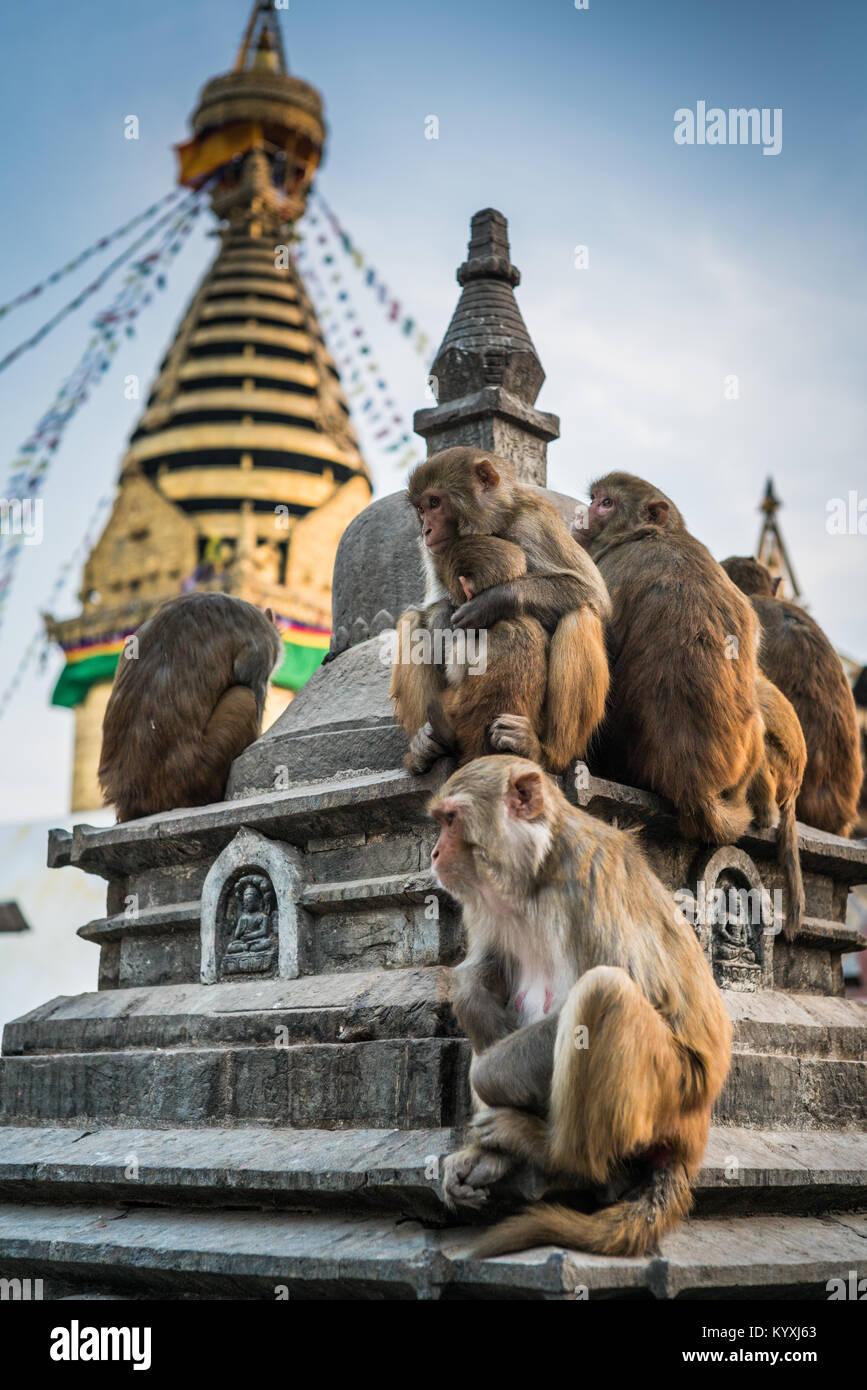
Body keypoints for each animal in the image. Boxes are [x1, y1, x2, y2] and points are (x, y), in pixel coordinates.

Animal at [390, 447, 610, 776]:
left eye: (434, 503)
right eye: (421, 508)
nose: (426, 529)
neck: (492, 525)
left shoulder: (535, 521)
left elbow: (593, 593)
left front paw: (493, 601)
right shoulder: (435, 552)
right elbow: (434, 606)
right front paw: (446, 623)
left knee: (580, 615)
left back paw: (544, 752)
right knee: (412, 619)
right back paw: (425, 750)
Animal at [430, 755, 732, 1258]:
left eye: (450, 820)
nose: (434, 854)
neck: (535, 876)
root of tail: (693, 1138)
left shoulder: (587, 881)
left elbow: (631, 986)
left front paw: (485, 1079)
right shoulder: (485, 904)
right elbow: (479, 976)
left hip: (671, 1091)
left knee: (606, 991)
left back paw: (553, 1152)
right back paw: (499, 1162)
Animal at [571, 473, 764, 847]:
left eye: (606, 503)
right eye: (593, 498)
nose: (580, 515)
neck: (655, 533)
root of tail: (697, 787)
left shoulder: (615, 565)